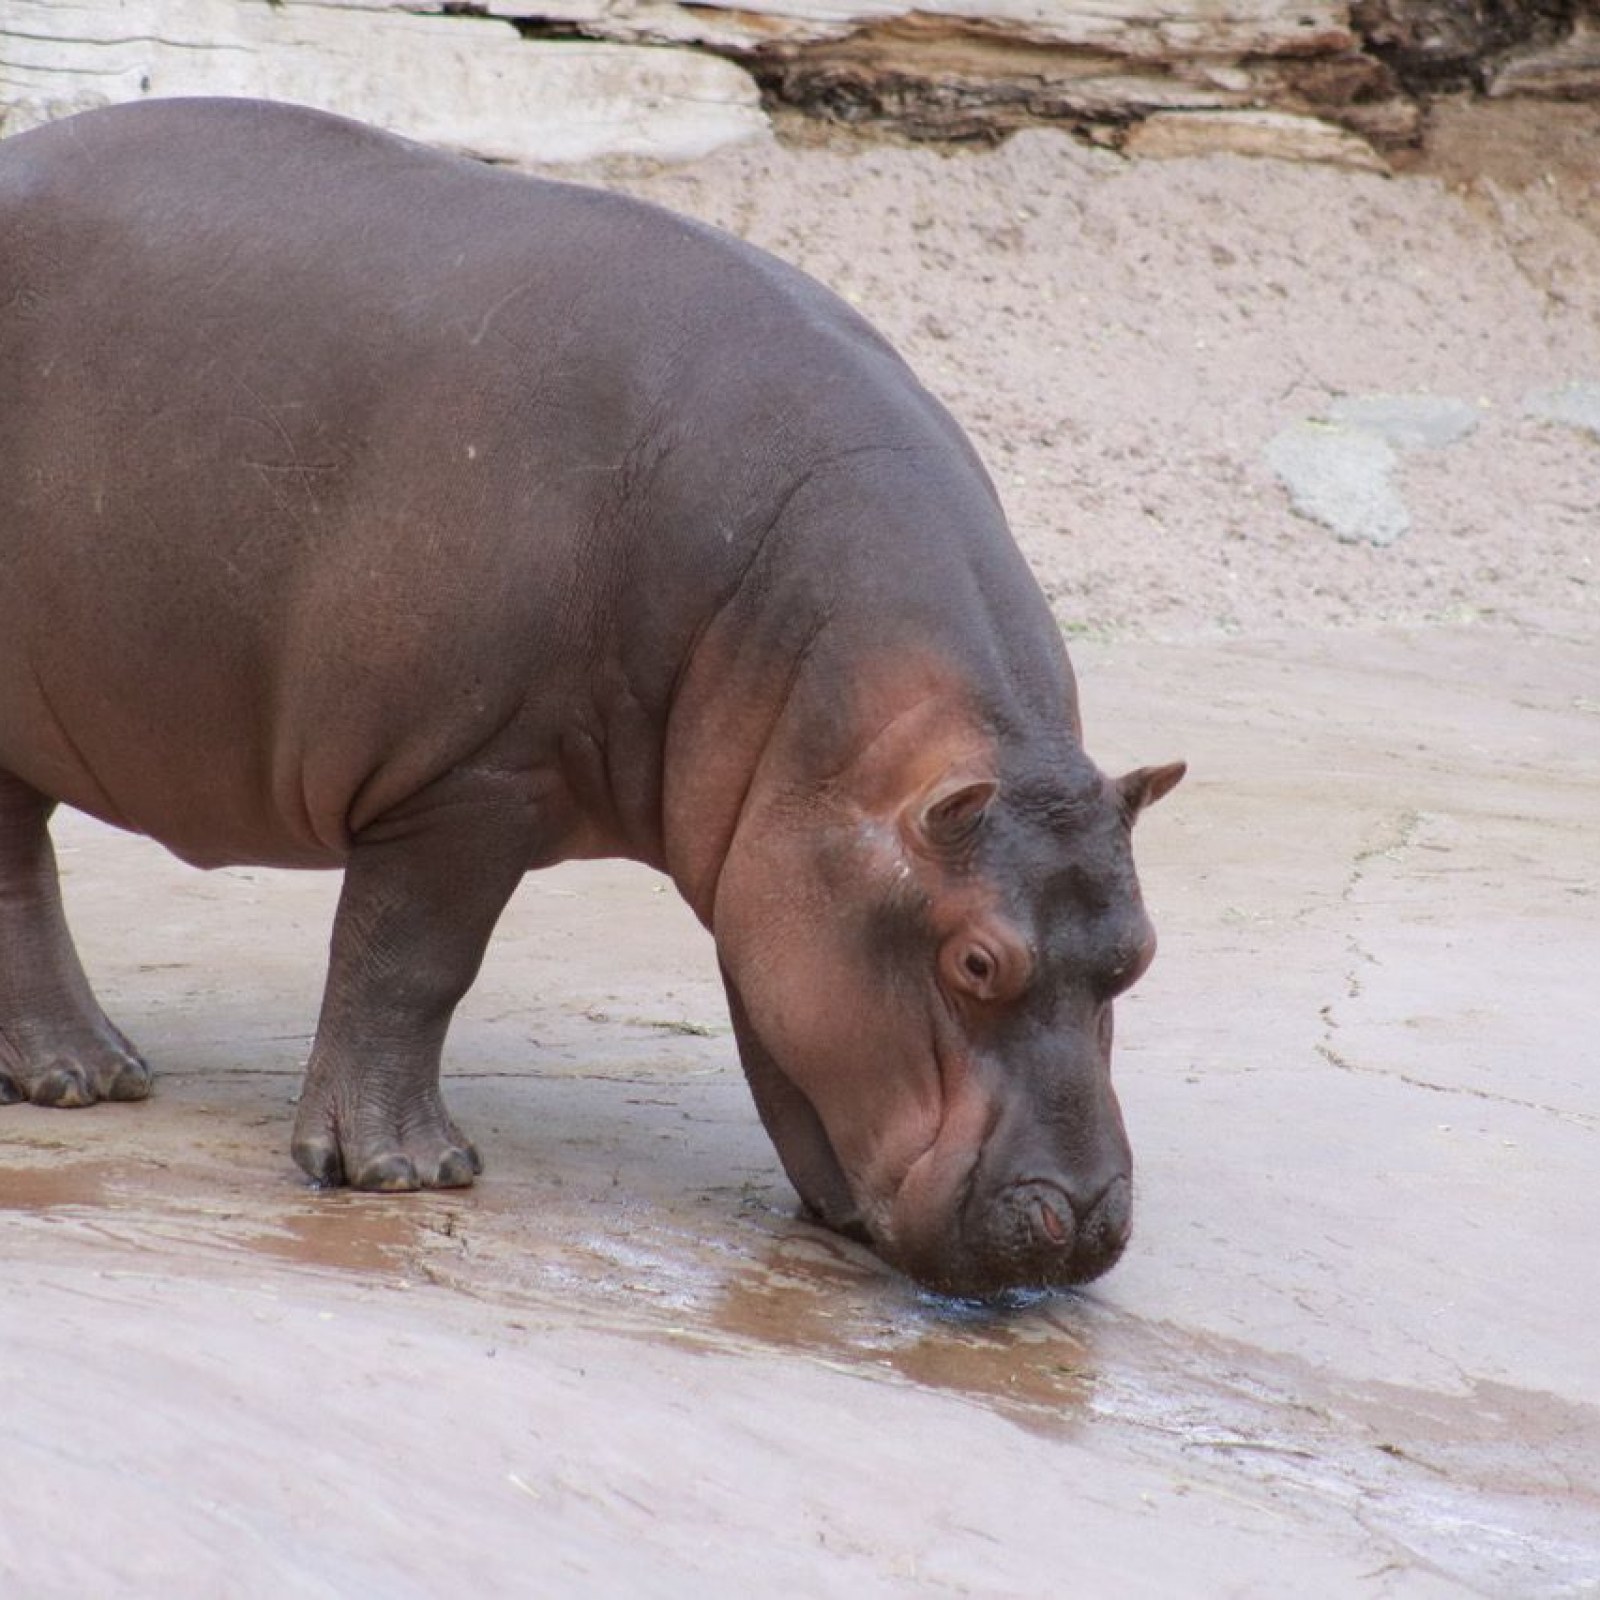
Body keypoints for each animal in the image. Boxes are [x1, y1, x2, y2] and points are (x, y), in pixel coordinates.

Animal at [0, 98, 1182, 1297]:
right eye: (977, 960)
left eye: (1139, 955)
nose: (1083, 1219)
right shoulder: (468, 781)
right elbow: (410, 966)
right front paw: (409, 1173)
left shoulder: (771, 852)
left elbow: (780, 1034)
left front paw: (838, 1211)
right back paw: (89, 1077)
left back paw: (81, 1074)